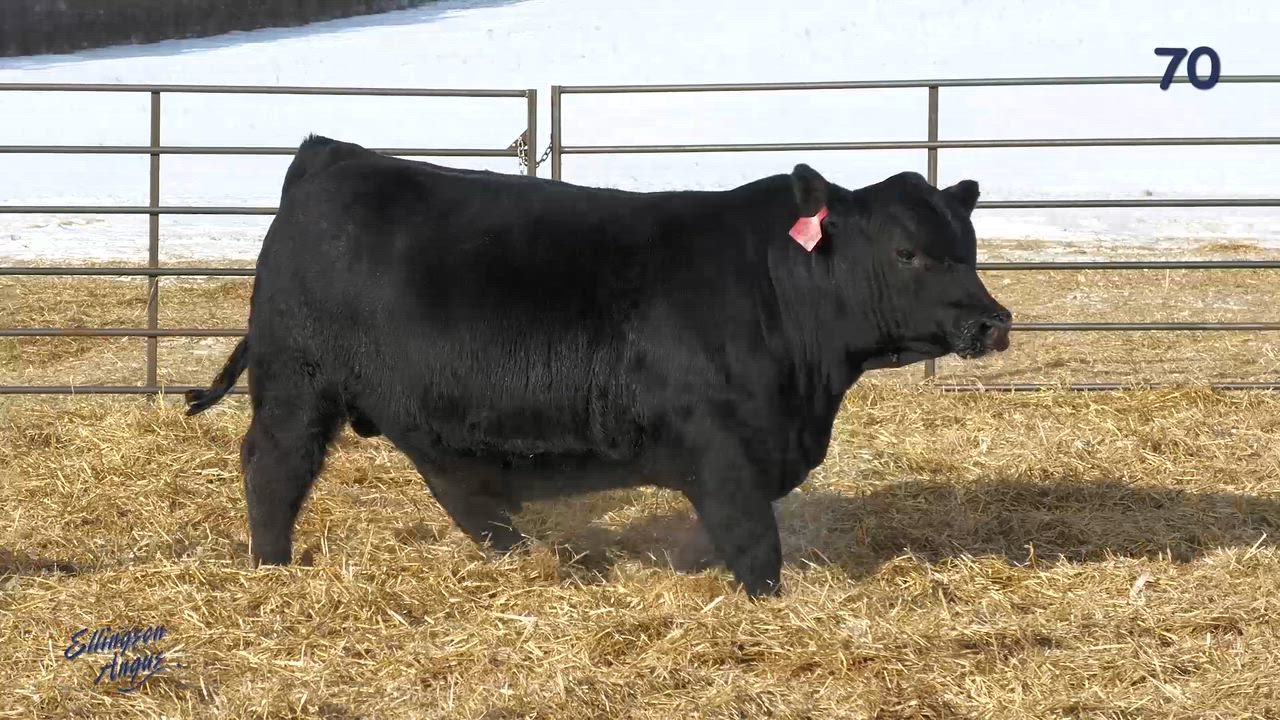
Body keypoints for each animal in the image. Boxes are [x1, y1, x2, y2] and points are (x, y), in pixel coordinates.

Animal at [185, 134, 1011, 598]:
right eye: (905, 251)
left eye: (967, 246)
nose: (991, 321)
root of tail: (331, 157)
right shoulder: (722, 455)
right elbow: (756, 548)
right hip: (296, 383)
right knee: (275, 468)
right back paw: (273, 569)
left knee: (467, 497)